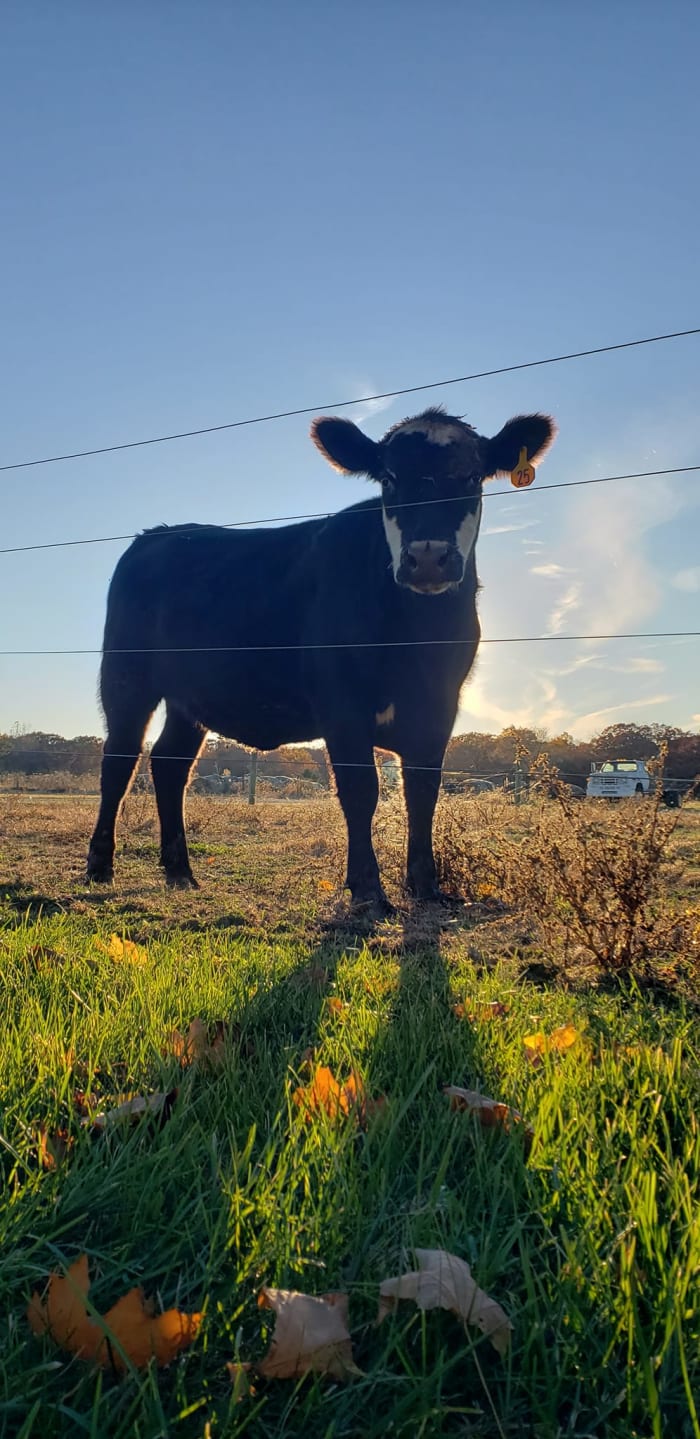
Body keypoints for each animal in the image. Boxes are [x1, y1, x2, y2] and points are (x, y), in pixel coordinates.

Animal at [86, 405, 555, 907]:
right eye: (390, 478)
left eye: (470, 475)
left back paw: (180, 871)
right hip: (125, 675)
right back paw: (99, 866)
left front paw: (426, 886)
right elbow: (361, 789)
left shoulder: (441, 703)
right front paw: (368, 890)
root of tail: (157, 535)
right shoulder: (341, 702)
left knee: (170, 763)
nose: (427, 558)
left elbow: (423, 789)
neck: (417, 640)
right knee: (119, 760)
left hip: (190, 698)